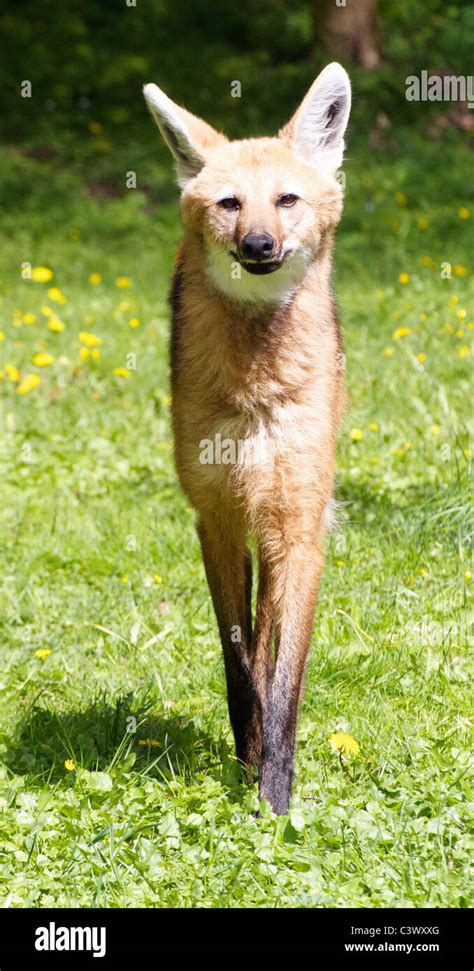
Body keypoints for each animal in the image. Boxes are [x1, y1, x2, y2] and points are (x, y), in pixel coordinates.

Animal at [143, 63, 351, 814]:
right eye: (231, 204)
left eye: (286, 200)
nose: (259, 246)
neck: (257, 387)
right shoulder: (218, 515)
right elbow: (241, 667)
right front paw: (247, 760)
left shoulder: (297, 522)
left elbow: (283, 681)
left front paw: (275, 798)